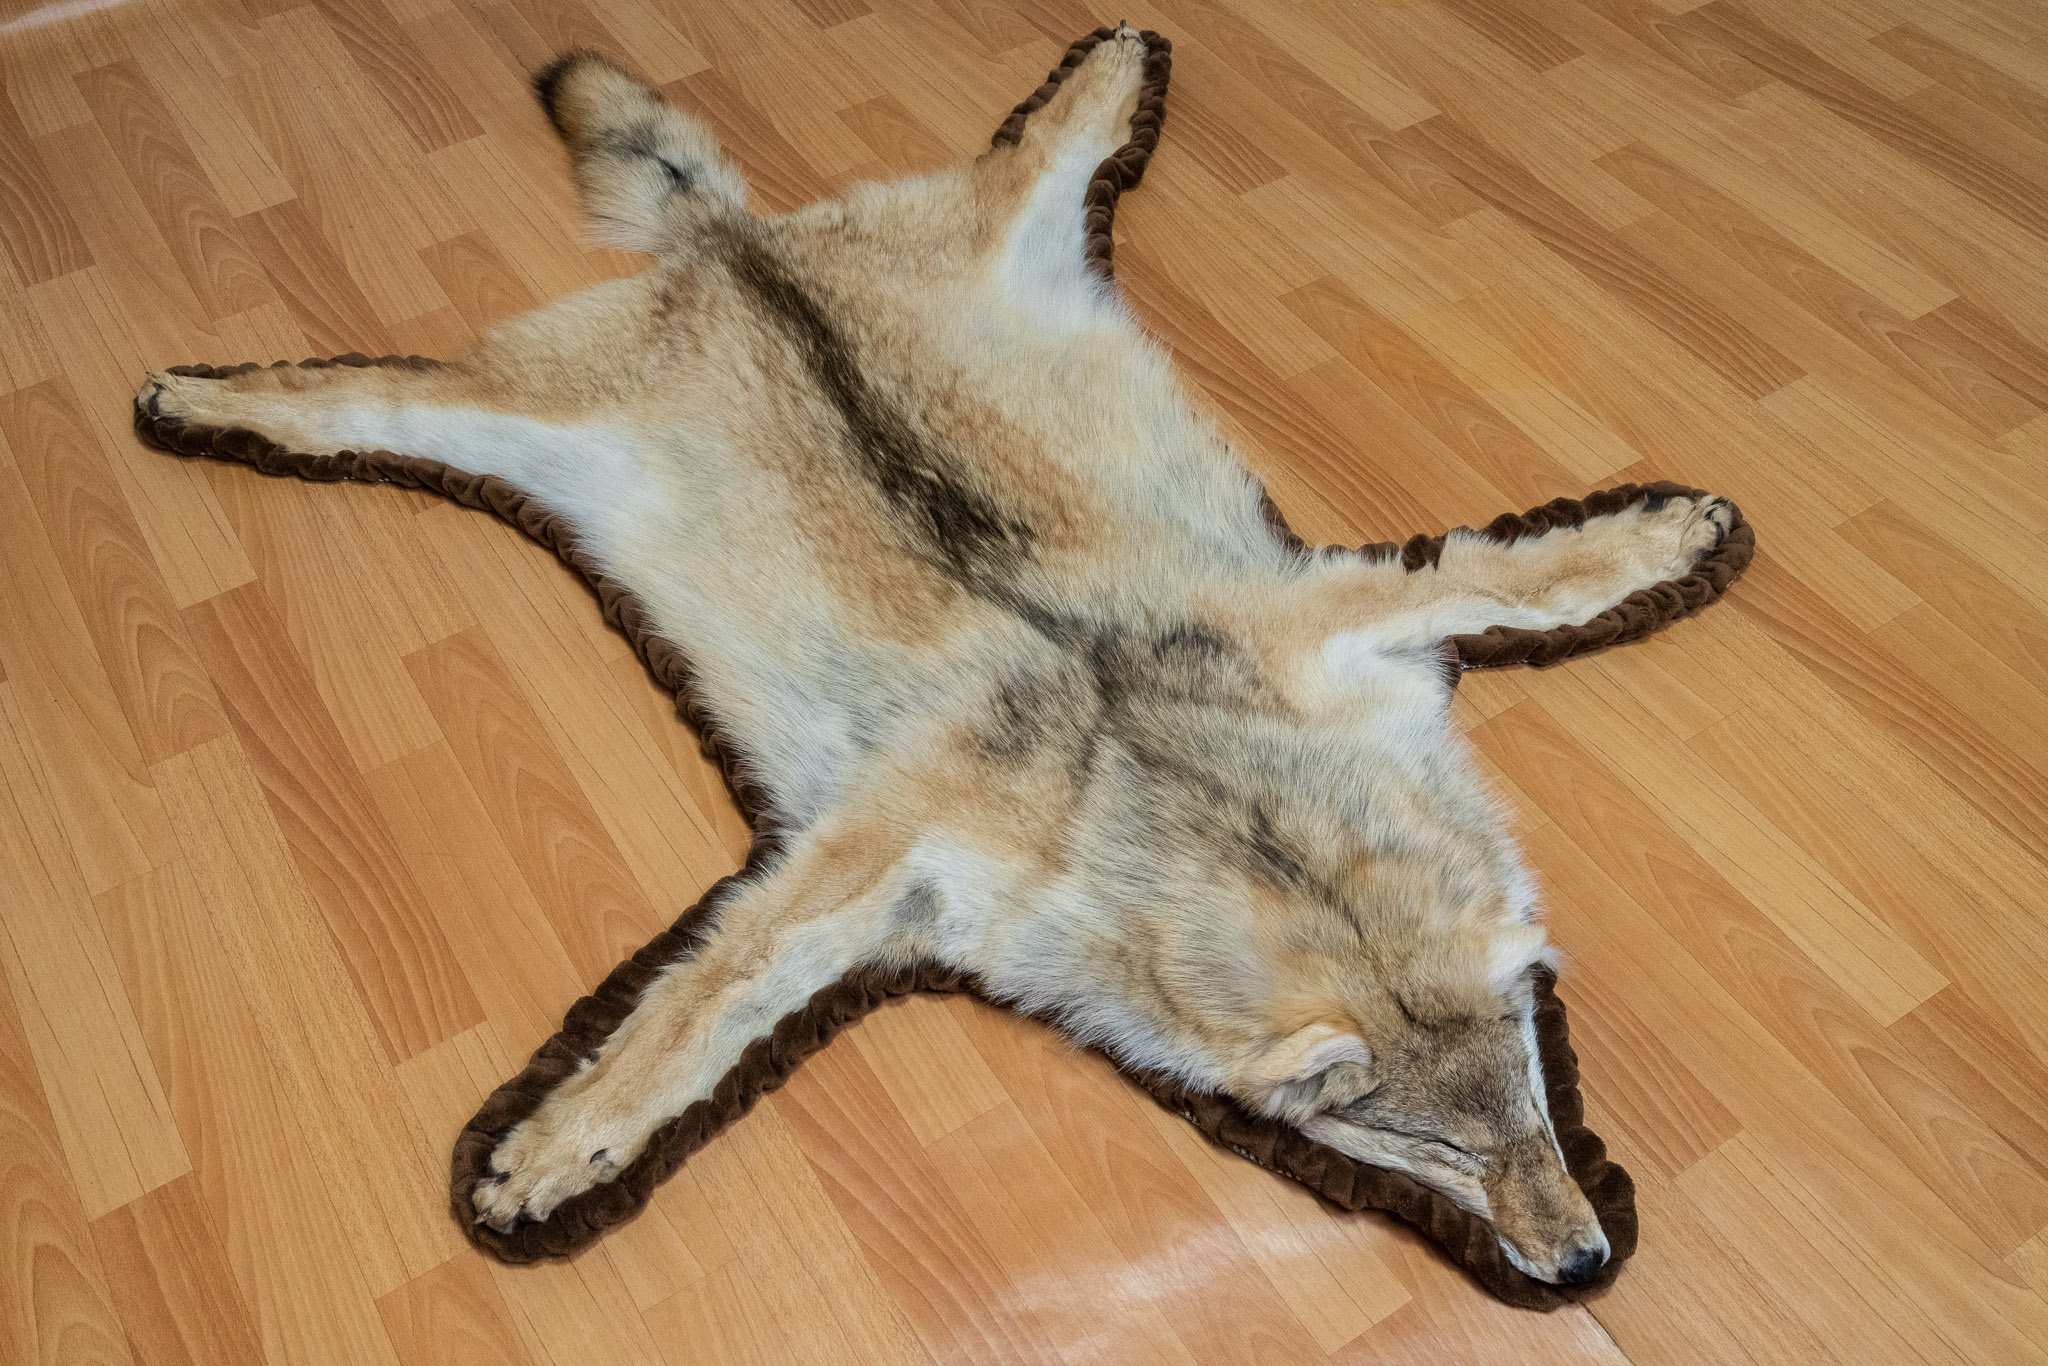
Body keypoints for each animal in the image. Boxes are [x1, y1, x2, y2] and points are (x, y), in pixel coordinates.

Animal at [135, 25, 1736, 1284]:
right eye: (1409, 1139)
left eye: (1531, 1084)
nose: (1586, 1261)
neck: (1173, 774)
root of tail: (733, 246)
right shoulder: (867, 842)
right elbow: (699, 1006)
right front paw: (561, 1147)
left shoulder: (1307, 616)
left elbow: (1509, 572)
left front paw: (1657, 542)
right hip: (510, 421)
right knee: (352, 392)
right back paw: (200, 398)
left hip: (1001, 250)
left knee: (1041, 143)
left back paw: (1113, 63)